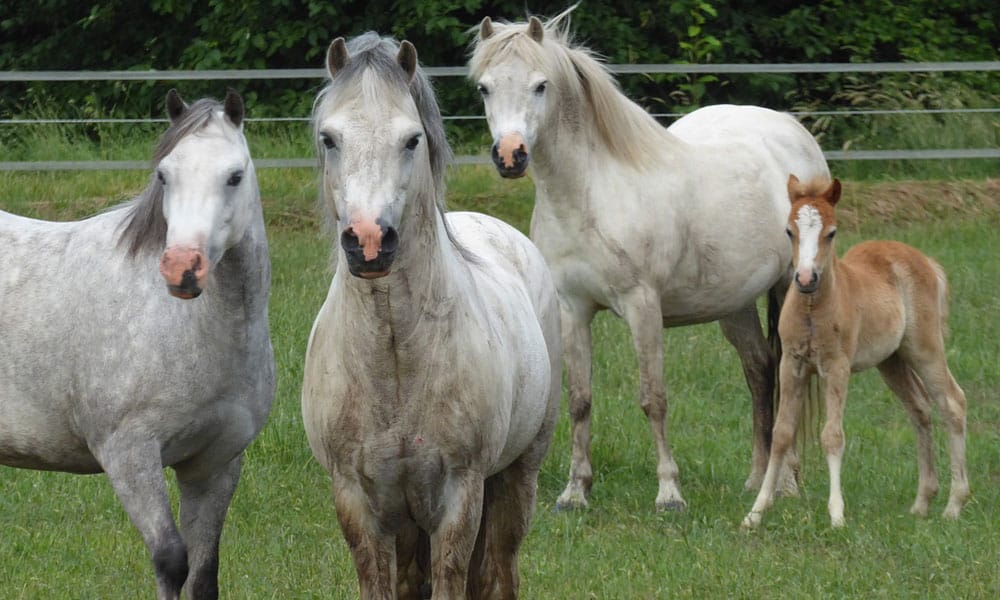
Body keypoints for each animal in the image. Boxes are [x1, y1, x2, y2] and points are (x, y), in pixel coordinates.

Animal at [0, 90, 274, 599]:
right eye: (164, 174)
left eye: (234, 176)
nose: (182, 269)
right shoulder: (129, 456)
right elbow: (171, 560)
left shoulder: (216, 465)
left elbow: (204, 573)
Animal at [300, 34, 561, 599]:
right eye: (329, 138)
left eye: (411, 140)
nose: (369, 242)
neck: (395, 360)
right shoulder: (357, 503)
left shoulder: (459, 497)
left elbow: (455, 577)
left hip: (517, 477)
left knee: (499, 570)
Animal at [469, 6, 830, 511]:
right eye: (484, 88)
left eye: (540, 85)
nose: (510, 155)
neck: (591, 193)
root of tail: (793, 132)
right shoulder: (572, 309)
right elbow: (580, 399)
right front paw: (575, 491)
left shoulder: (642, 306)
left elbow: (652, 397)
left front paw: (669, 492)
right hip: (735, 302)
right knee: (759, 369)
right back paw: (757, 478)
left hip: (790, 285)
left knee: (786, 371)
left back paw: (787, 484)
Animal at [742, 176, 969, 528]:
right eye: (789, 231)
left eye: (831, 232)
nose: (805, 278)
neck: (812, 309)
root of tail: (925, 260)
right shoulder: (791, 365)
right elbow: (781, 433)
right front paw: (755, 512)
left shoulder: (837, 367)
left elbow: (832, 436)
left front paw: (836, 515)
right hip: (891, 359)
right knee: (919, 408)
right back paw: (922, 502)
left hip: (924, 347)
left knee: (952, 403)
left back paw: (954, 505)